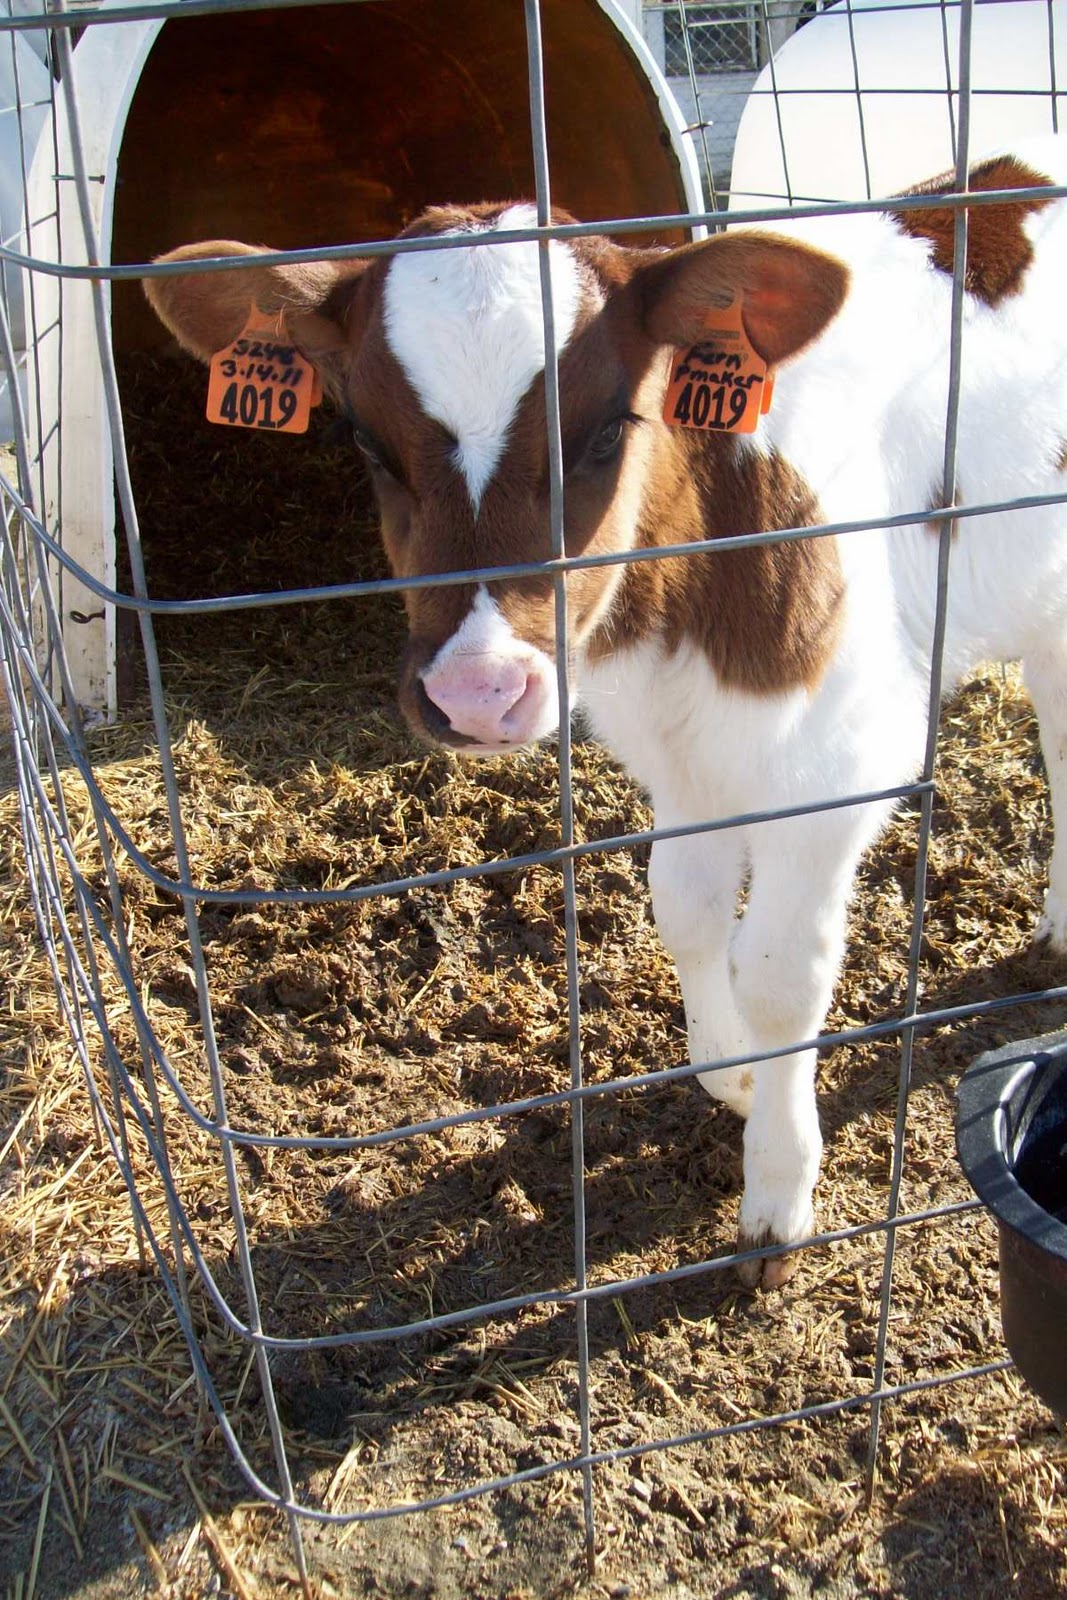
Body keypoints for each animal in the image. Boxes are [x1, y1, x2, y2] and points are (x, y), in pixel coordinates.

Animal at [143, 136, 1067, 1287]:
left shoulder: (835, 764)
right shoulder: (678, 754)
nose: (478, 690)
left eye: (604, 432)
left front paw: (776, 1197)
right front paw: (731, 1074)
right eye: (365, 441)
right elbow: (683, 907)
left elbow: (781, 973)